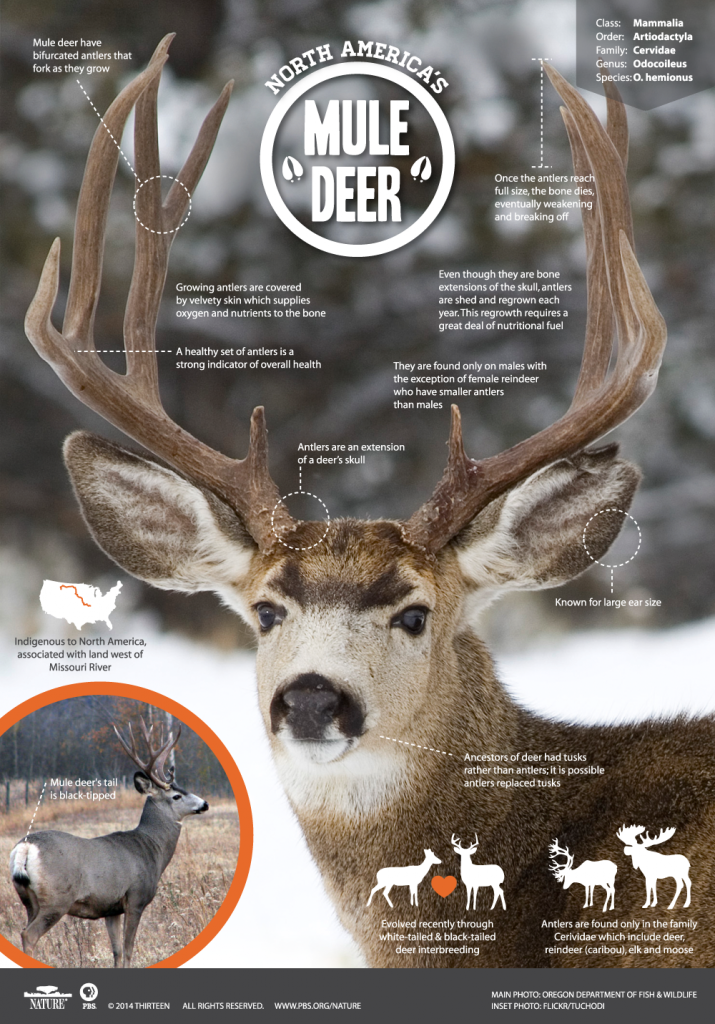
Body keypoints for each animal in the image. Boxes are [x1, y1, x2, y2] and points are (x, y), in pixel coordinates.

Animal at [9, 719, 208, 967]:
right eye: (177, 796)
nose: (204, 804)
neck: (151, 848)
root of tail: (26, 846)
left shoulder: (111, 908)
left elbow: (117, 951)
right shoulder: (135, 897)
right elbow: (129, 949)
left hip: (28, 899)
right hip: (56, 899)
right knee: (29, 934)